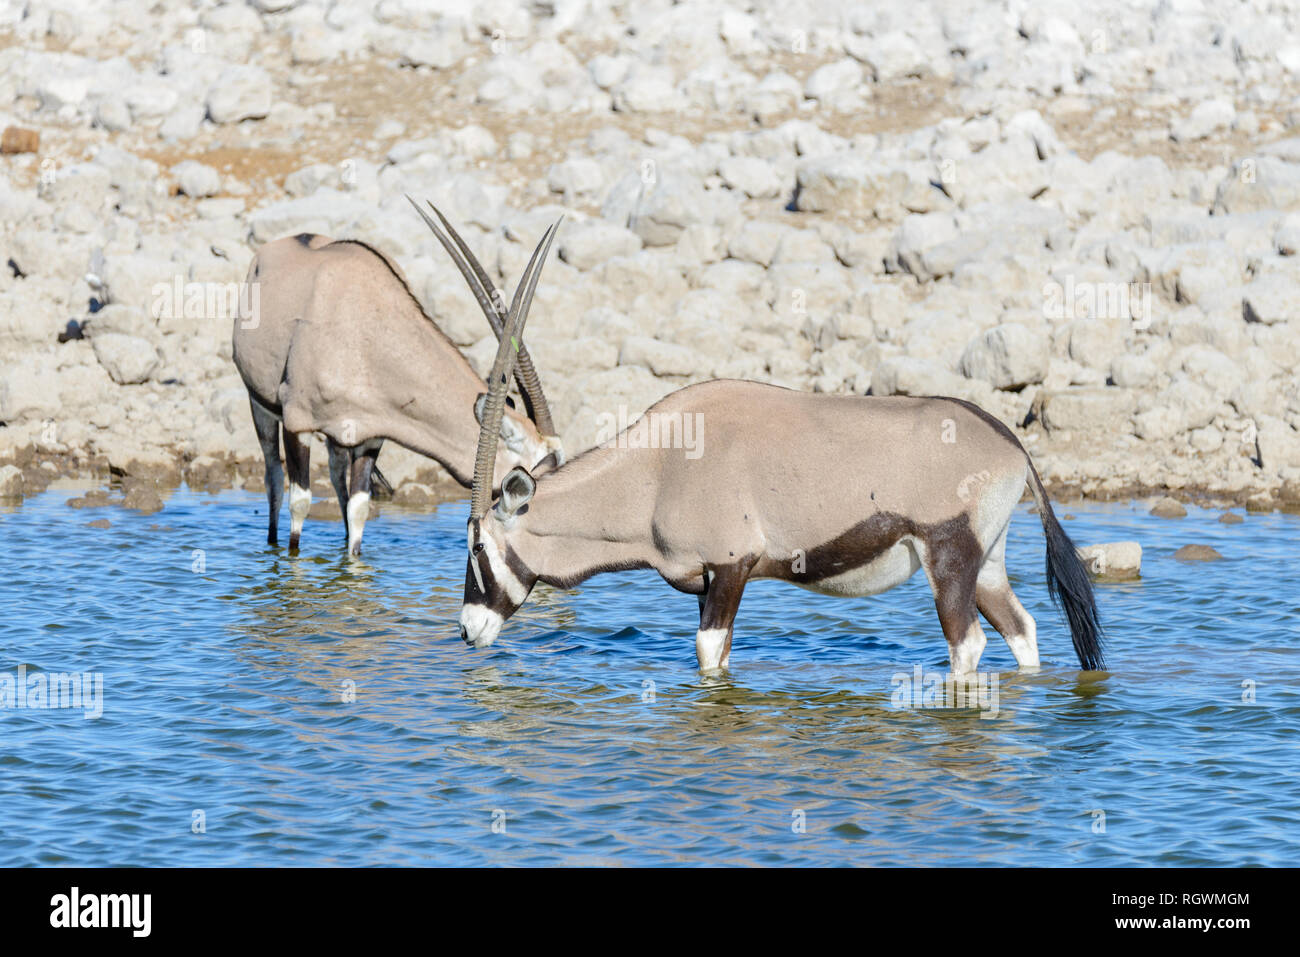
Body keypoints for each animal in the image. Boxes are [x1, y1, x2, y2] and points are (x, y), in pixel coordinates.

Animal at [232, 199, 564, 555]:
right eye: (540, 471)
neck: (370, 332)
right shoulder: (299, 425)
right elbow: (300, 503)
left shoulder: (371, 435)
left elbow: (358, 508)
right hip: (260, 405)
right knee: (274, 479)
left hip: (339, 437)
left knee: (337, 479)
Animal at [459, 288, 1106, 676]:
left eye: (477, 547)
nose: (467, 631)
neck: (658, 468)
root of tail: (1011, 444)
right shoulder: (706, 583)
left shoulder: (731, 568)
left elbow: (709, 655)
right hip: (987, 563)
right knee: (1021, 631)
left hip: (947, 557)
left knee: (966, 643)